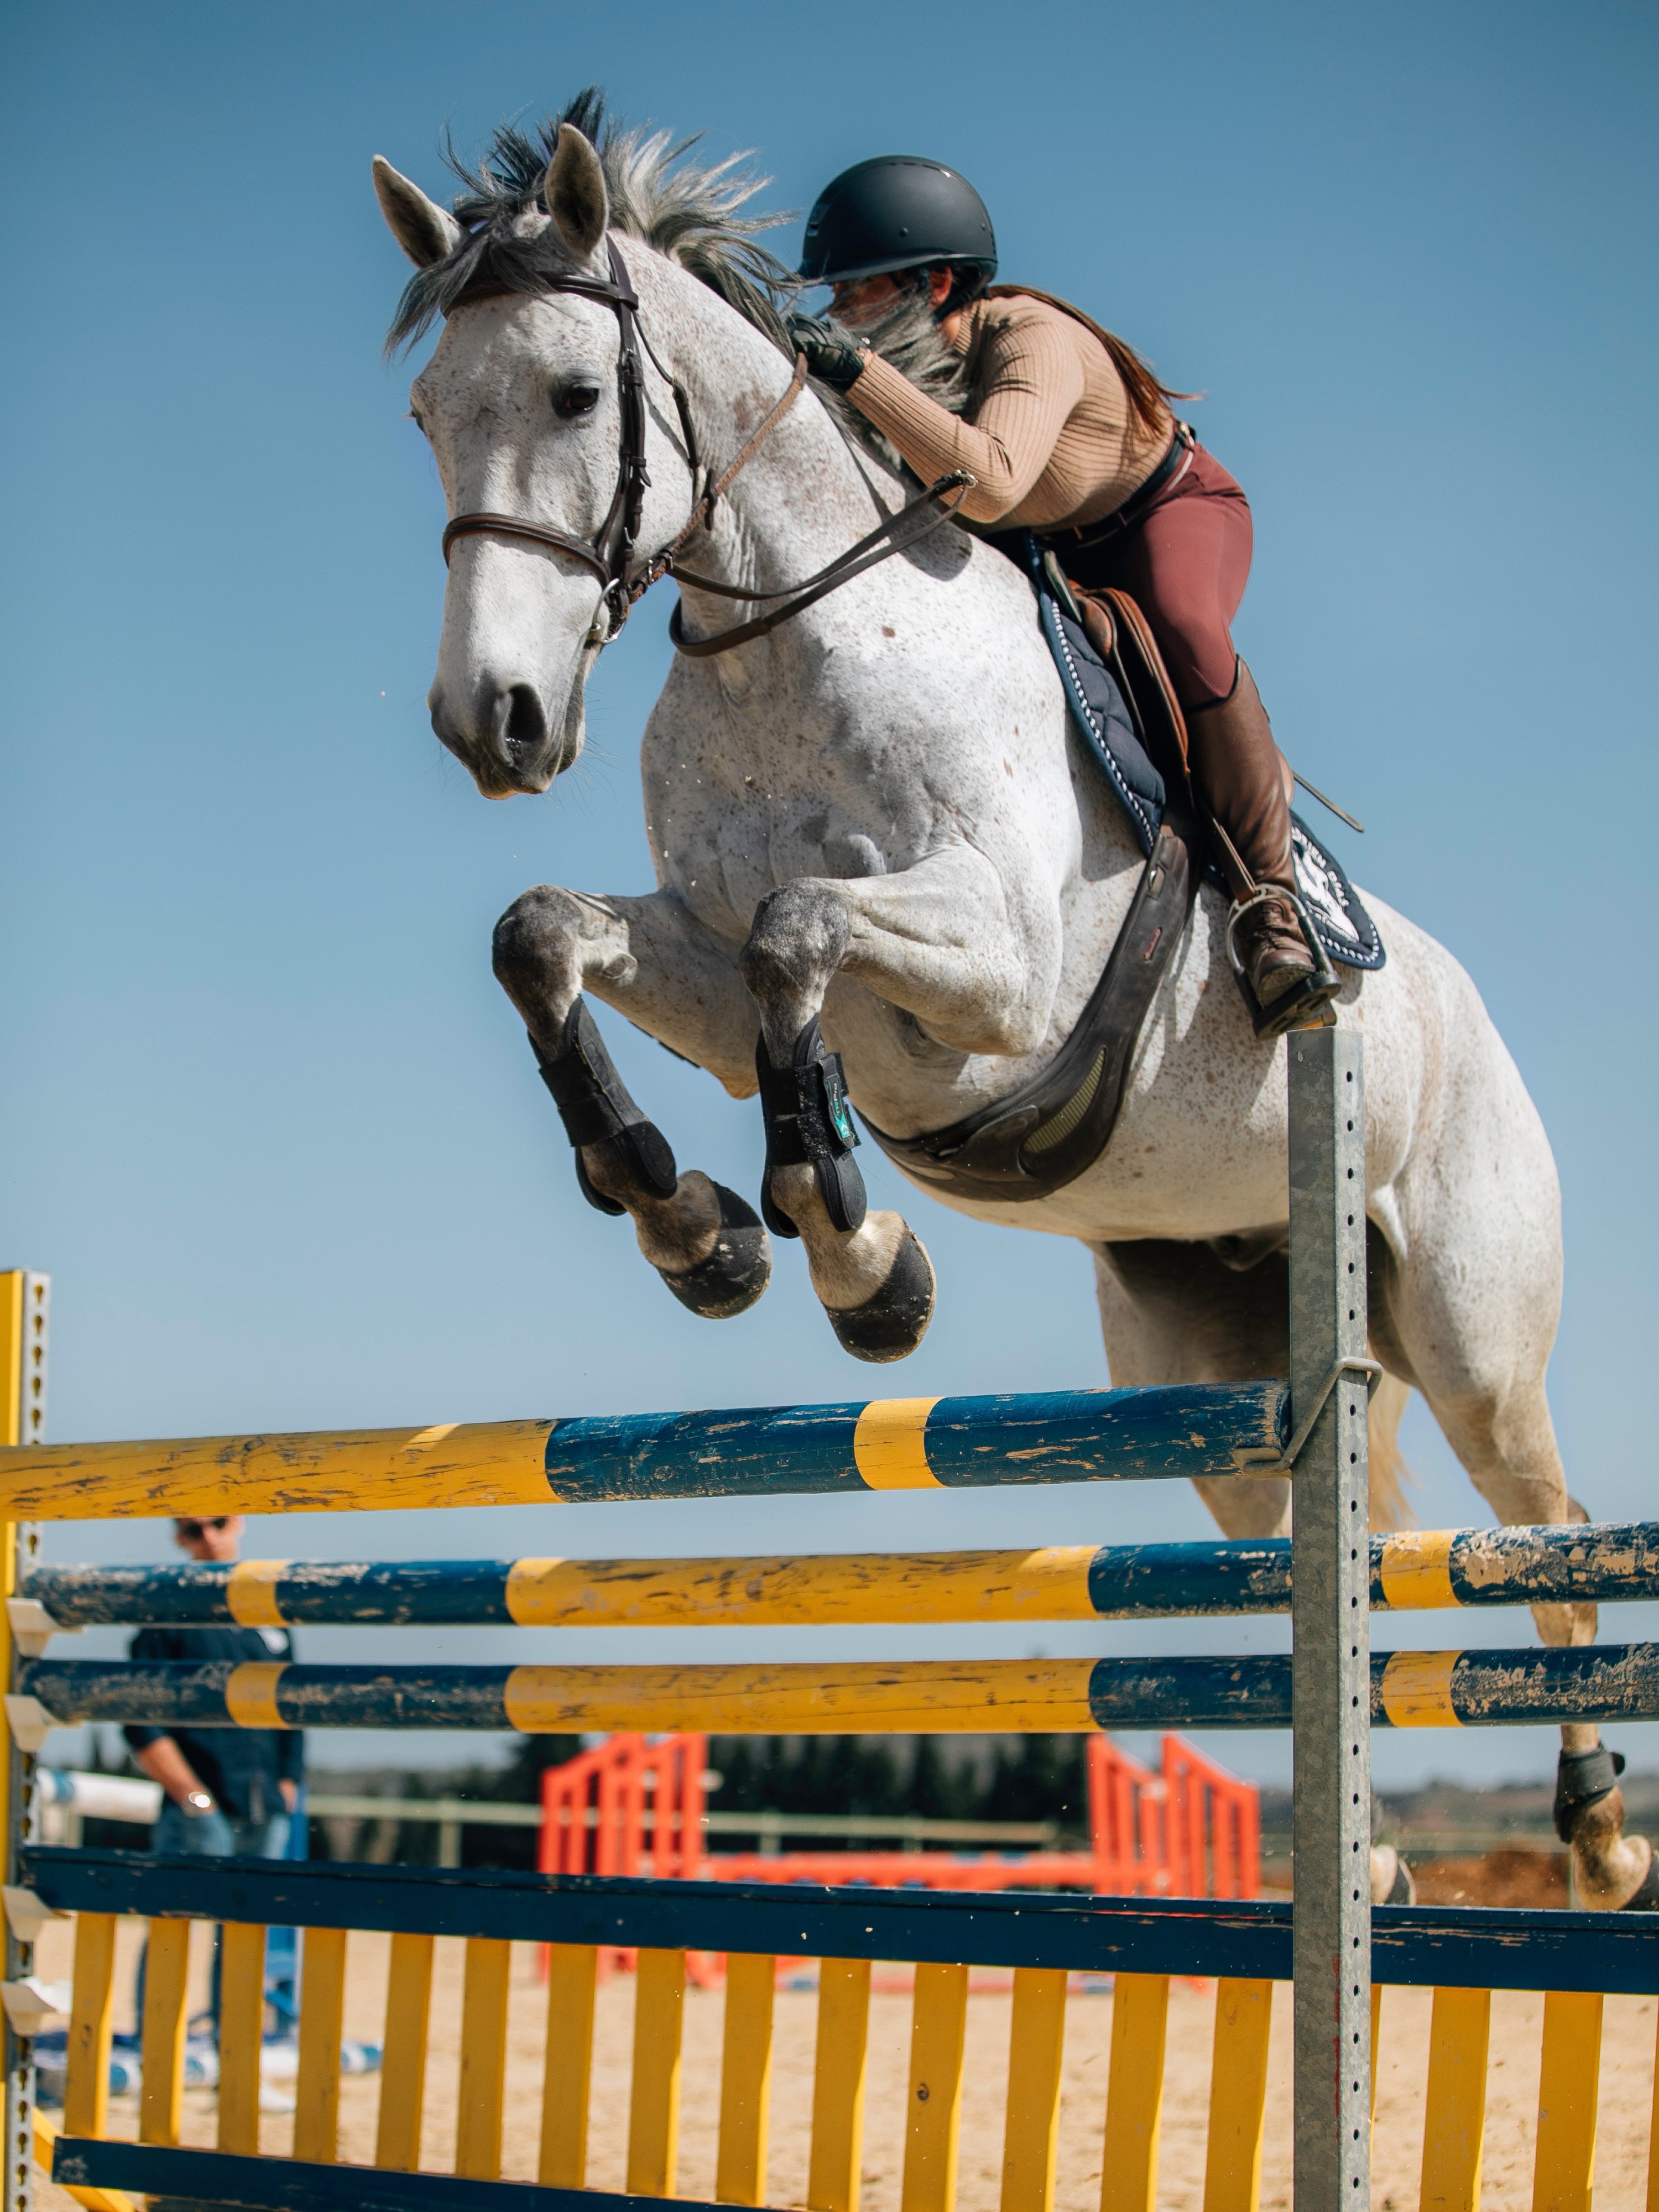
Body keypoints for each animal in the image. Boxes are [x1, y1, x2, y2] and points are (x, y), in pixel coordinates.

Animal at [370, 95, 1653, 1910]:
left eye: (566, 393)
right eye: (426, 415)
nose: (496, 720)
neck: (791, 636)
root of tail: (1468, 1012)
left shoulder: (1003, 976)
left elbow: (795, 934)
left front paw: (855, 1259)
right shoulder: (701, 960)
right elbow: (546, 937)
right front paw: (694, 1223)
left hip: (1476, 1331)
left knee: (1538, 1534)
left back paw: (1599, 1834)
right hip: (1214, 1379)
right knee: (1301, 1559)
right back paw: (1377, 1868)